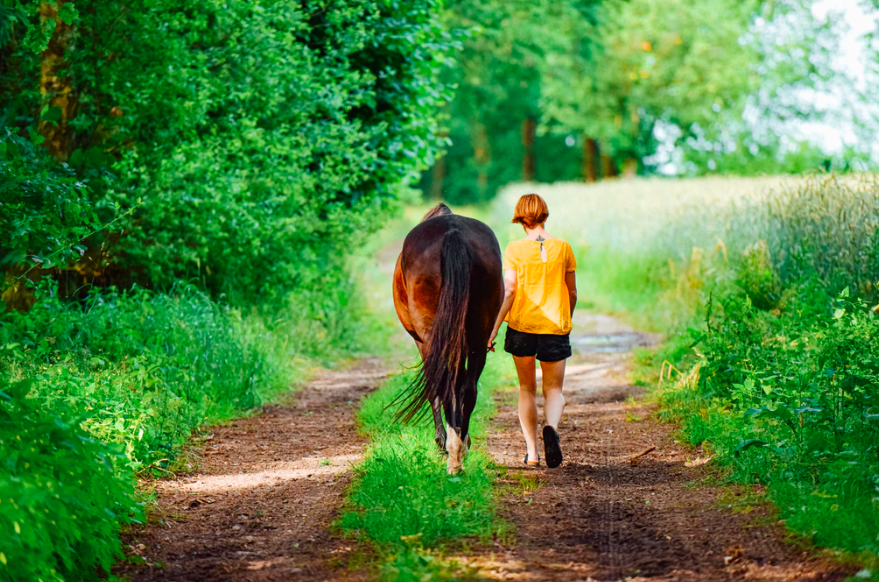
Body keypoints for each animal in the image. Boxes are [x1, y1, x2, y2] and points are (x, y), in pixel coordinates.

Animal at [392, 203, 503, 474]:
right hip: (477, 337)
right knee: (468, 387)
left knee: (443, 385)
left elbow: (436, 387)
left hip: (433, 336)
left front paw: (441, 441)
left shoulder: (424, 343)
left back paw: (452, 452)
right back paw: (459, 448)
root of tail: (453, 233)